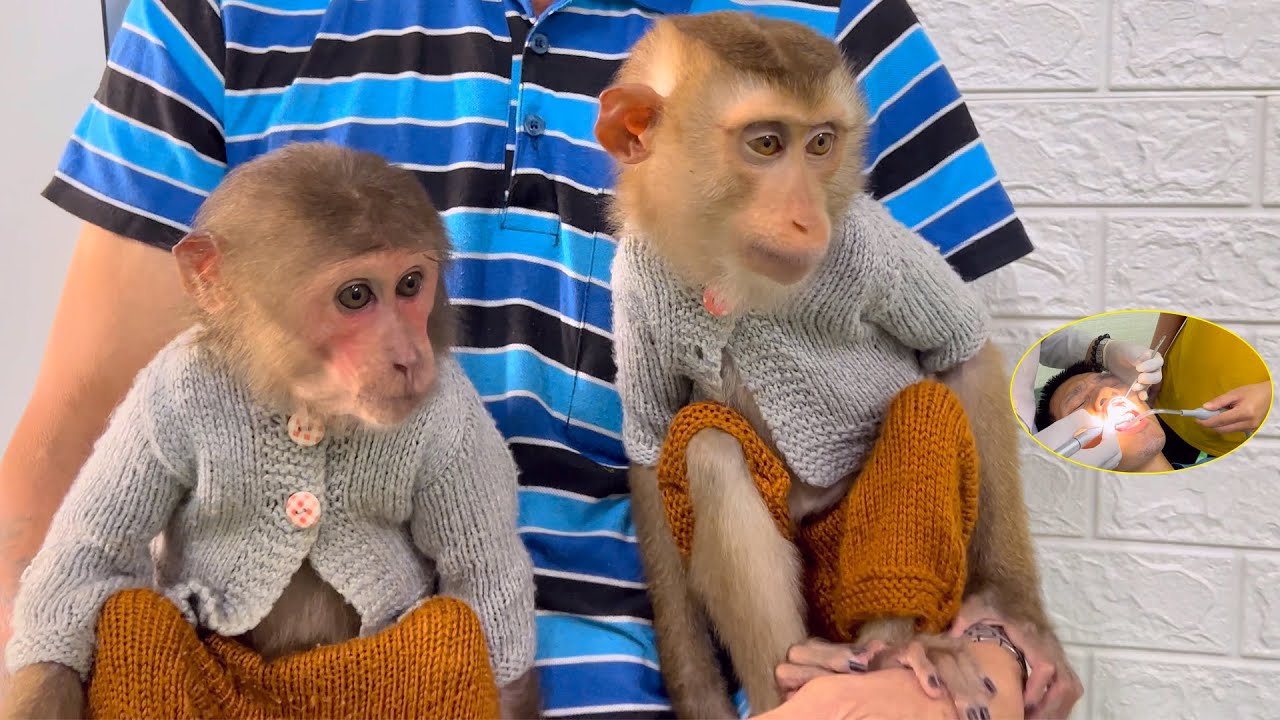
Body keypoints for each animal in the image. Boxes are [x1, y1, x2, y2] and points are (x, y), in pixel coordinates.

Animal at [0, 142, 541, 720]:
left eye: (410, 285)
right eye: (356, 296)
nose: (408, 357)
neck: (304, 400)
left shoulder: (450, 418)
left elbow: (483, 574)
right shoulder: (163, 400)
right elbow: (89, 556)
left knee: (450, 627)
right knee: (133, 610)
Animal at [594, 12, 1068, 719]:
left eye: (820, 143)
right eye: (766, 144)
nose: (807, 218)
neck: (730, 273)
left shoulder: (867, 249)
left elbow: (962, 356)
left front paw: (1013, 609)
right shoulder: (635, 282)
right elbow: (653, 450)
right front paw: (702, 696)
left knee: (925, 406)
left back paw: (898, 641)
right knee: (707, 448)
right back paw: (796, 678)